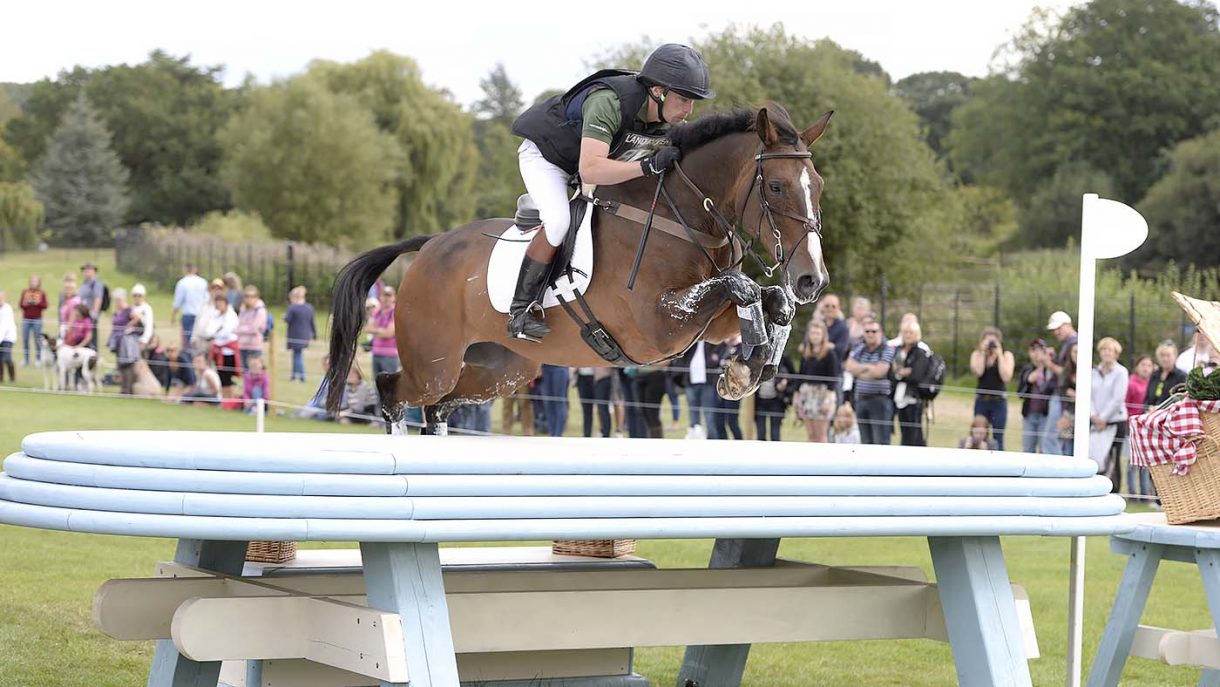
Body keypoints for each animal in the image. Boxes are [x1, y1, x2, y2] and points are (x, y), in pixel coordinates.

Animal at [325, 104, 834, 434]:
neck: (680, 217)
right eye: (776, 187)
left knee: (440, 408)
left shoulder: (706, 325)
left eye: (819, 185)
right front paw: (746, 369)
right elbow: (742, 287)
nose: (813, 279)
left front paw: (752, 366)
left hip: (501, 369)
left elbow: (770, 299)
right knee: (394, 393)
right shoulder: (658, 325)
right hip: (435, 362)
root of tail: (431, 245)